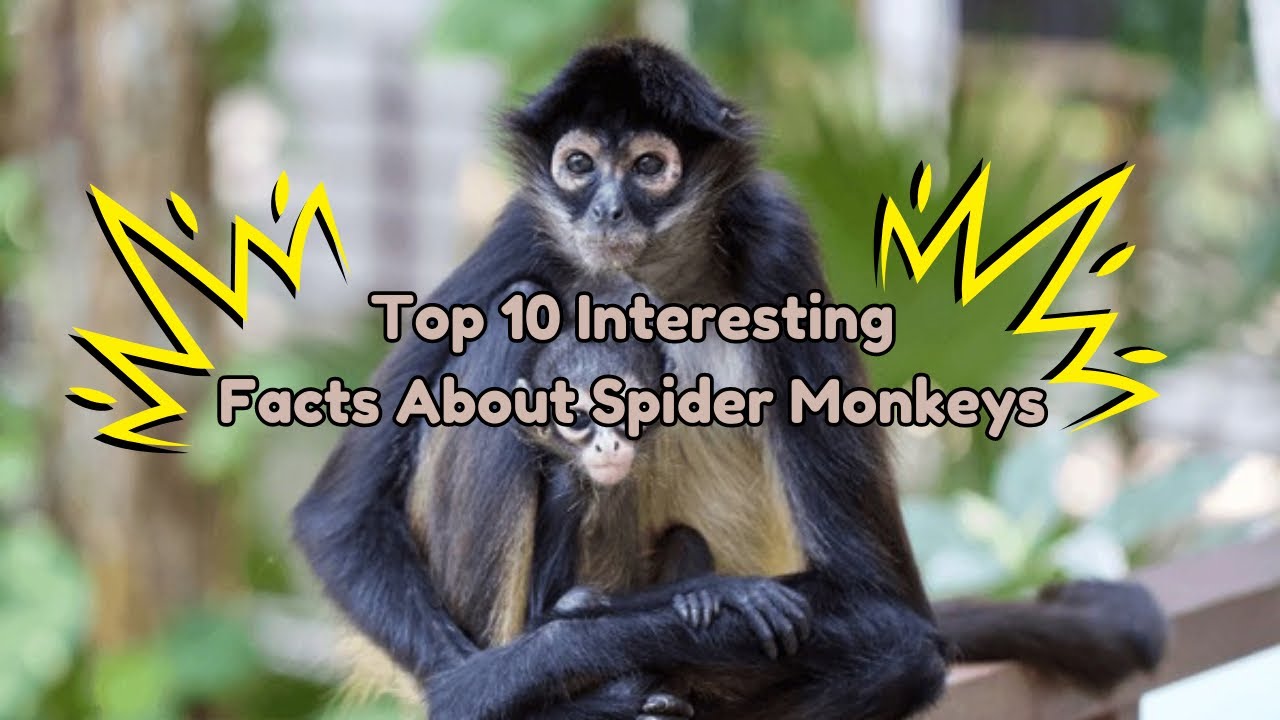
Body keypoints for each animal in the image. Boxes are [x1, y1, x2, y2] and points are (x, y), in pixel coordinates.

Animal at [293, 39, 1167, 720]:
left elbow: (882, 606)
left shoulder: (779, 238)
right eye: (578, 165)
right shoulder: (521, 229)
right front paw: (523, 672)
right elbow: (335, 519)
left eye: (649, 167)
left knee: (900, 654)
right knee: (513, 320)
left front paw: (701, 608)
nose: (605, 210)